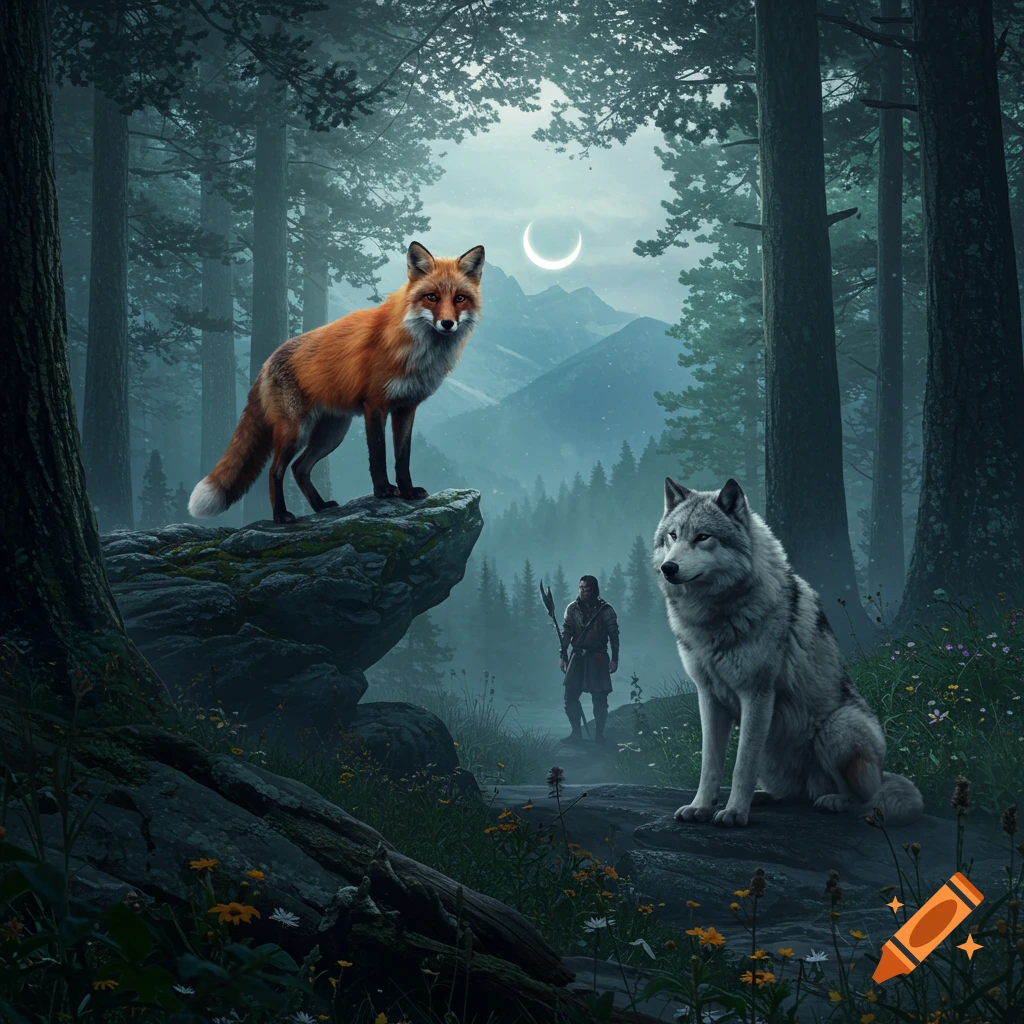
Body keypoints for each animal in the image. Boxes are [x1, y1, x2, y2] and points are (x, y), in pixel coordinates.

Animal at [653, 476, 923, 828]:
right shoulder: (709, 696)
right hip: (774, 749)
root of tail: (882, 774)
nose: (667, 567)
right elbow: (709, 764)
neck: (715, 617)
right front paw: (700, 806)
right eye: (673, 536)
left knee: (860, 796)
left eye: (702, 537)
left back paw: (834, 801)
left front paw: (735, 813)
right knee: (793, 793)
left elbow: (741, 766)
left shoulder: (757, 693)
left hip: (836, 729)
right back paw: (767, 796)